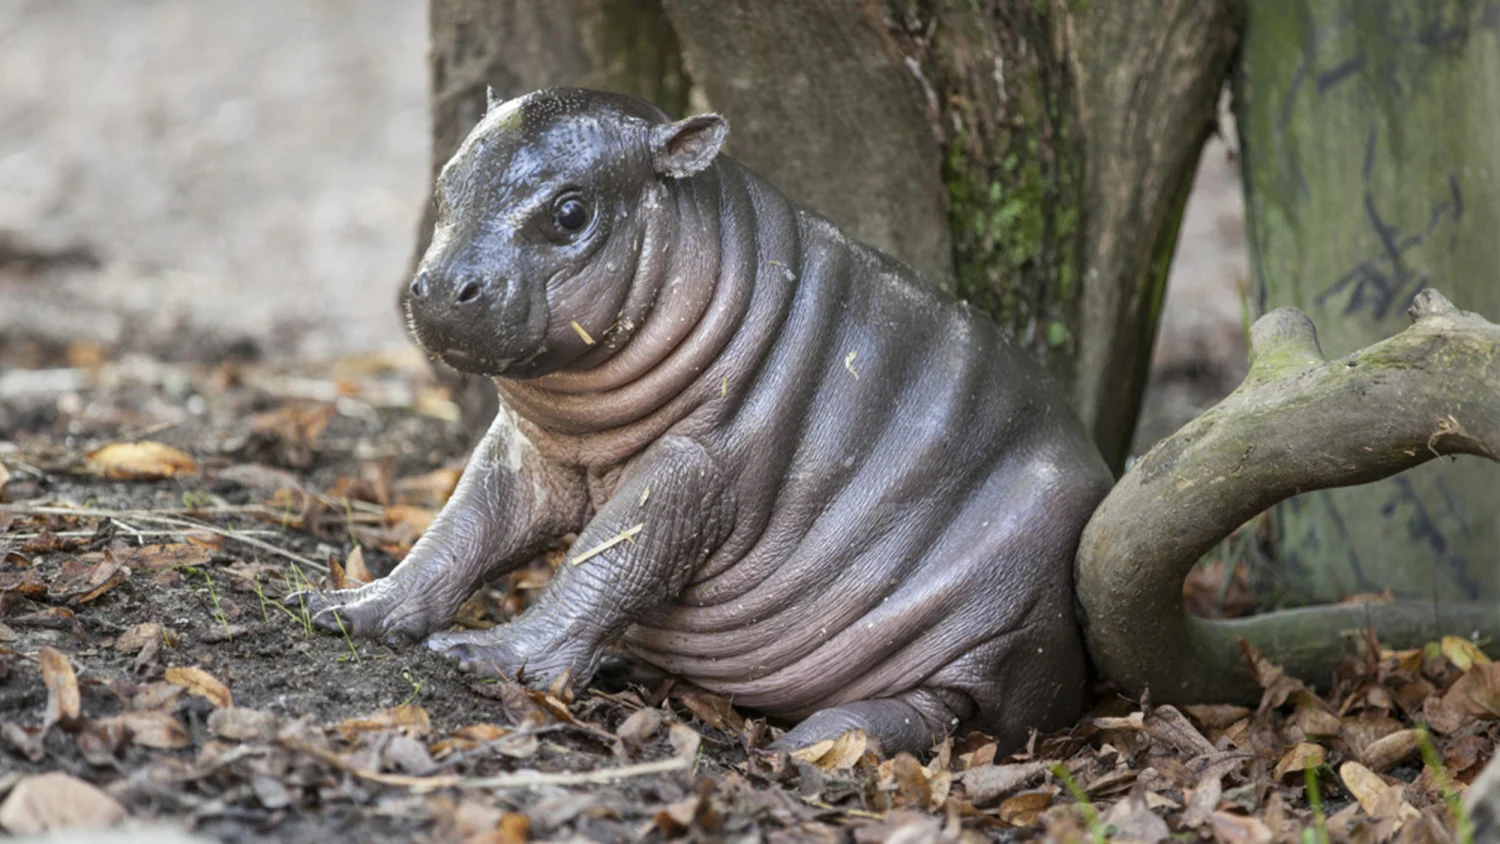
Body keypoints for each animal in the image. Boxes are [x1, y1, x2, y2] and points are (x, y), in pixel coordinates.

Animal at [292, 88, 1113, 754]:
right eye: (445, 183)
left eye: (571, 211)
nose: (439, 288)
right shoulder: (526, 449)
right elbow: (460, 531)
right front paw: (342, 607)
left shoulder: (698, 467)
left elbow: (609, 560)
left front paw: (481, 656)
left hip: (1004, 627)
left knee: (944, 713)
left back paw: (809, 747)